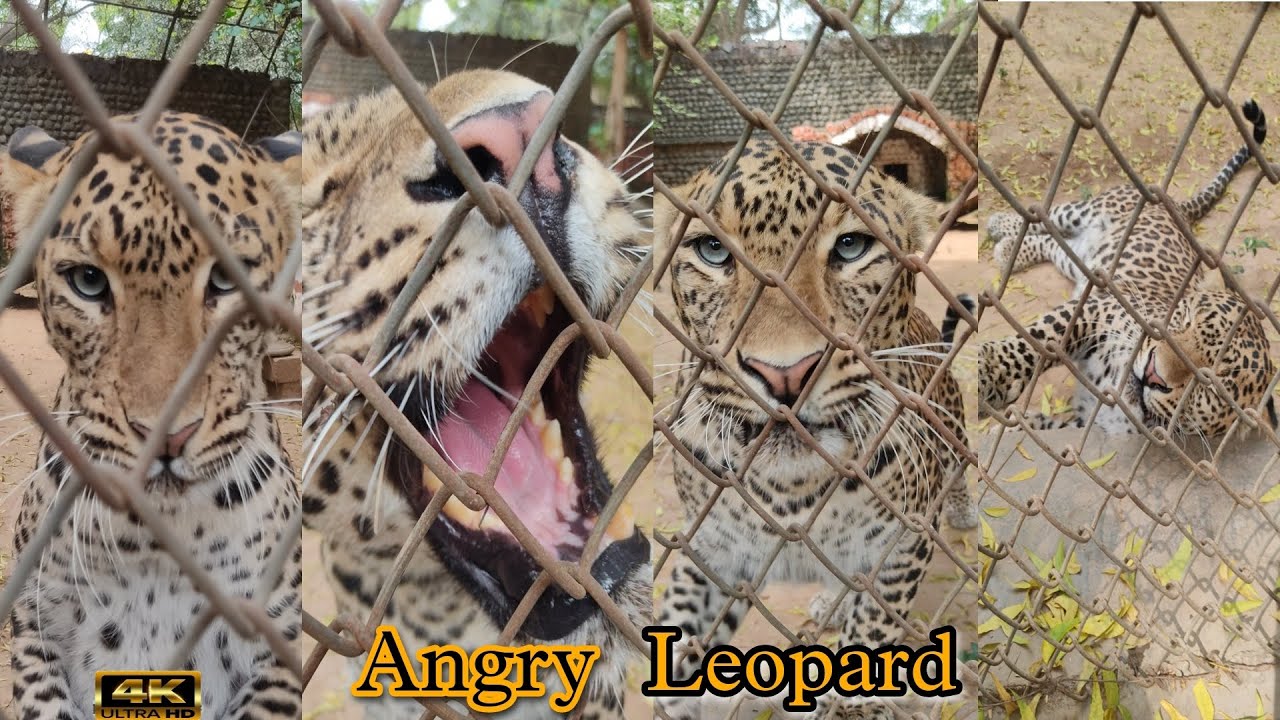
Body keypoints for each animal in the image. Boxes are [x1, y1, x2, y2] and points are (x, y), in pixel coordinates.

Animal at [3, 113, 303, 719]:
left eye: (227, 280)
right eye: (88, 281)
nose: (166, 438)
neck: (156, 545)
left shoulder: (277, 634)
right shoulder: (33, 628)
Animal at [653, 139, 977, 719]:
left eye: (850, 246)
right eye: (712, 251)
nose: (785, 373)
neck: (793, 494)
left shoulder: (902, 545)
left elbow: (874, 628)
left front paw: (853, 705)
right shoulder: (709, 550)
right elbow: (679, 629)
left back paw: (962, 513)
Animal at [981, 99, 1277, 437]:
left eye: (1211, 386)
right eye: (1184, 322)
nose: (1152, 374)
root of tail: (1178, 207)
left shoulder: (1085, 422)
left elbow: (1047, 426)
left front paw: (1014, 426)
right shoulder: (1100, 307)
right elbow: (1045, 336)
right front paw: (990, 370)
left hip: (1084, 258)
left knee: (1053, 244)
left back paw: (1008, 249)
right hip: (1087, 210)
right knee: (1046, 216)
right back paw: (1001, 224)